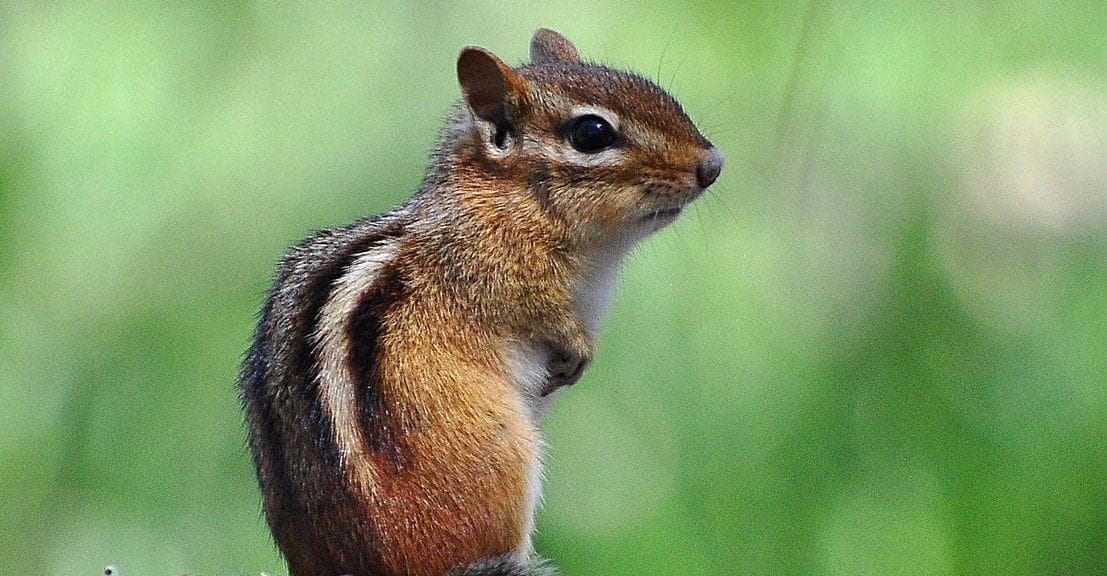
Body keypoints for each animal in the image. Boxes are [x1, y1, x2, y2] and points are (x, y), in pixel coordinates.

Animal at [240, 28, 723, 576]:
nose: (713, 165)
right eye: (592, 133)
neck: (509, 198)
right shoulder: (496, 272)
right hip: (502, 456)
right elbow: (540, 311)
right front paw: (577, 348)